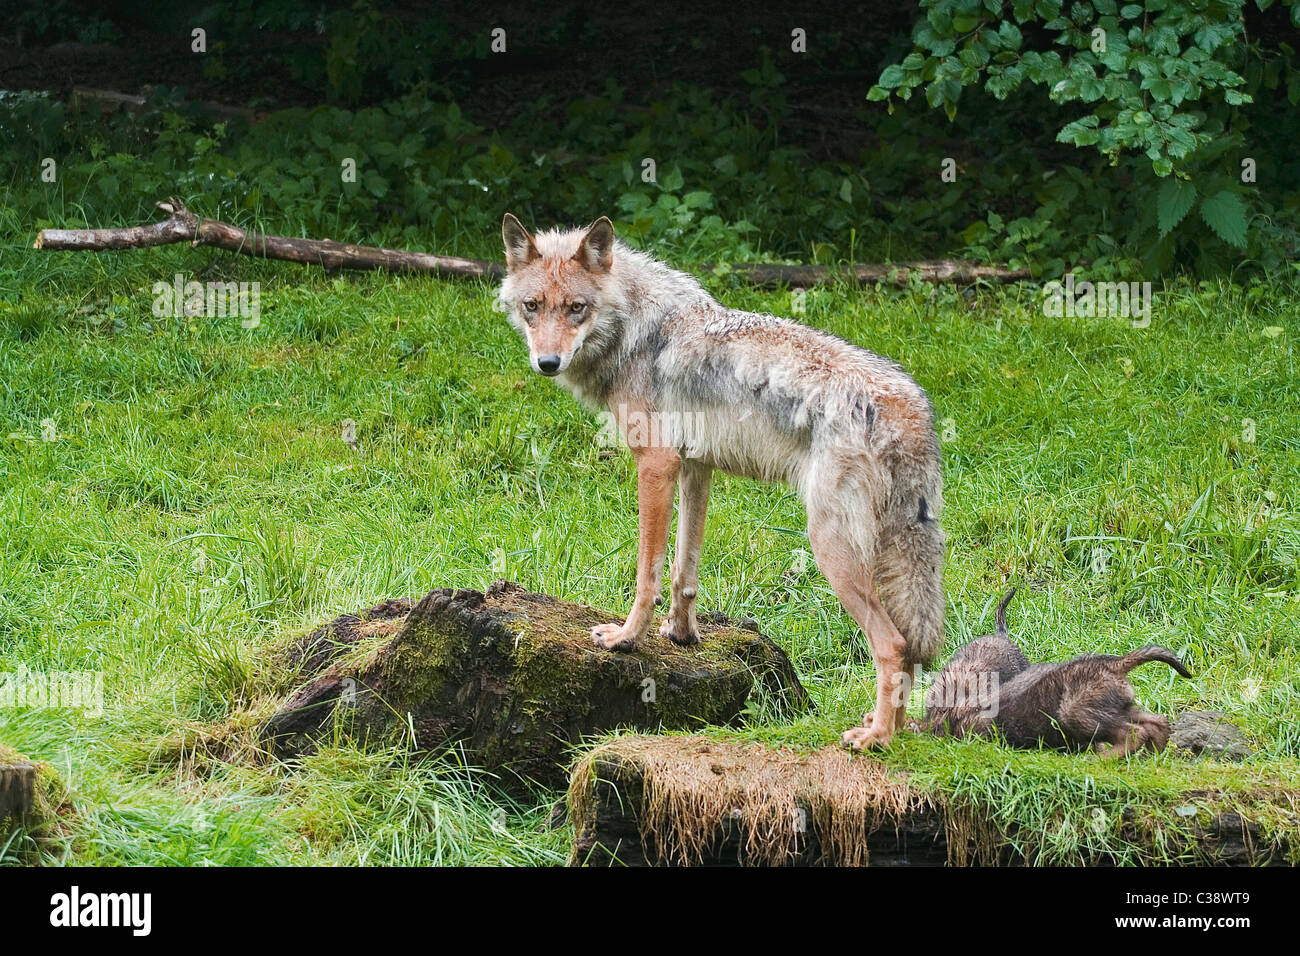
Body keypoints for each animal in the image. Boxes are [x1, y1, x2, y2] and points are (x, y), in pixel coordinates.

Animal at [498, 213, 945, 749]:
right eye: (532, 306)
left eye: (576, 308)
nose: (547, 363)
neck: (637, 331)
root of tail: (911, 406)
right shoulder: (695, 467)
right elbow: (683, 571)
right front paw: (682, 634)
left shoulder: (655, 465)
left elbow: (647, 574)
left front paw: (627, 639)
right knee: (910, 648)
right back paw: (895, 731)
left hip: (830, 547)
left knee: (893, 643)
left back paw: (876, 738)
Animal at [923, 588, 1192, 756]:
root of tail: (1114, 663)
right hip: (1119, 706)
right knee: (1157, 722)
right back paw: (1153, 753)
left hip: (1077, 712)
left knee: (1135, 733)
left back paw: (1103, 759)